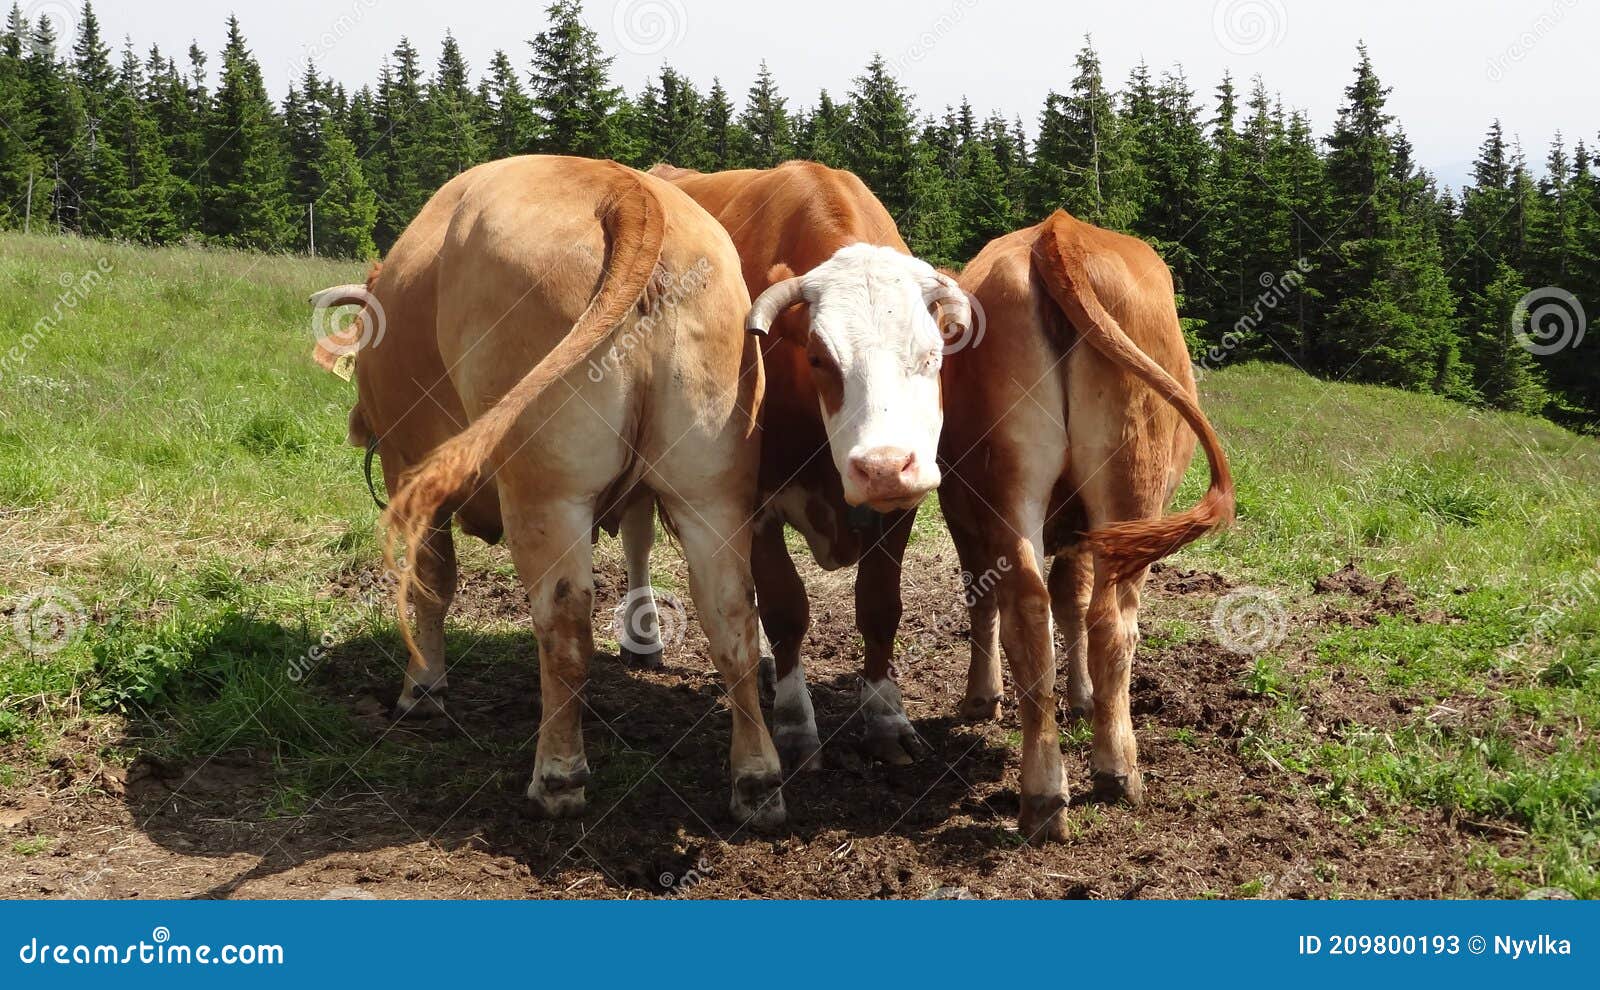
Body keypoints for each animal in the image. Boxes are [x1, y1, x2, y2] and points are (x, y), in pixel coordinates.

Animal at [311, 155, 787, 829]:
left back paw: (558, 776)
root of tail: (625, 191)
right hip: (712, 492)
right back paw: (756, 780)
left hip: (546, 493)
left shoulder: (412, 471)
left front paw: (421, 688)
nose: (356, 427)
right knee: (733, 619)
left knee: (564, 626)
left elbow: (432, 582)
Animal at [644, 160, 971, 769]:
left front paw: (886, 717)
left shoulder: (900, 509)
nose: (883, 466)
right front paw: (795, 725)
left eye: (932, 355)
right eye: (819, 358)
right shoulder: (754, 504)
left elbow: (879, 605)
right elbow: (785, 609)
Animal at [938, 209, 1235, 842]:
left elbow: (1049, 597)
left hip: (1018, 487)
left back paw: (1047, 795)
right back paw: (1115, 769)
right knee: (1110, 620)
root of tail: (1061, 230)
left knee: (1033, 608)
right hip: (1130, 493)